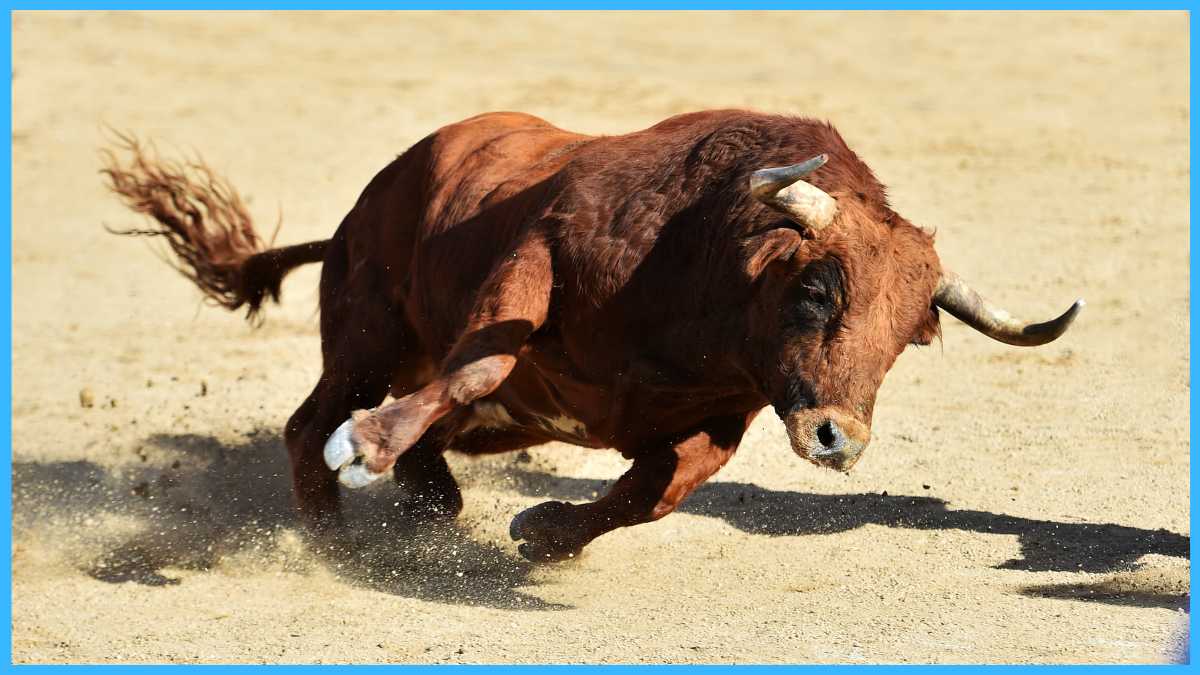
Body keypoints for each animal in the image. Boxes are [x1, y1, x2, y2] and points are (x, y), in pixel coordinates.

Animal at [102, 110, 1082, 562]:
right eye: (816, 290)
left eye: (908, 338)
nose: (838, 439)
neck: (704, 264)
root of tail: (361, 208)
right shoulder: (539, 249)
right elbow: (485, 358)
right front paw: (369, 445)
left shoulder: (721, 413)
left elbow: (657, 492)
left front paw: (543, 529)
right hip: (367, 336)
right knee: (311, 425)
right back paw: (335, 532)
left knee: (434, 470)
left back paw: (421, 505)